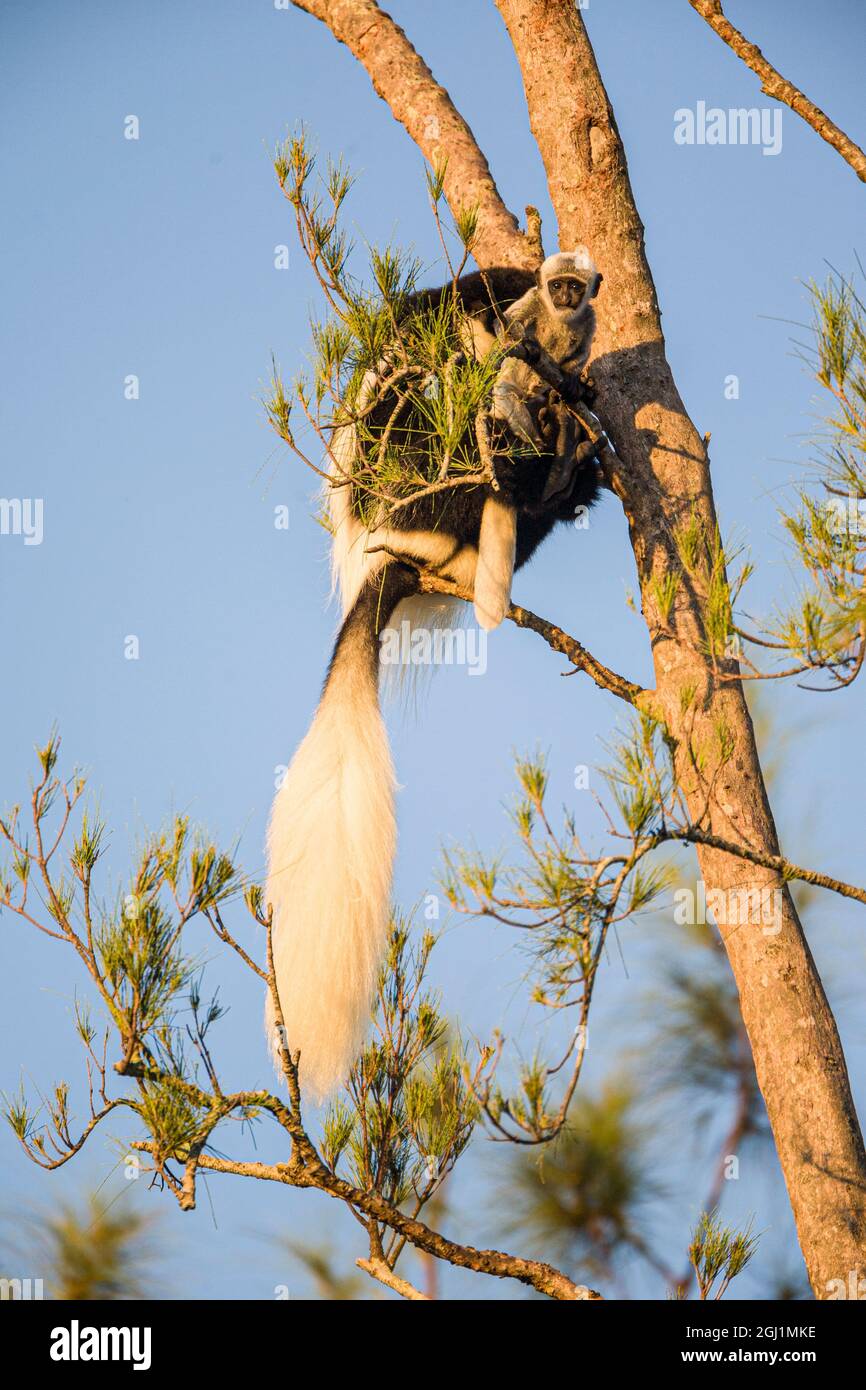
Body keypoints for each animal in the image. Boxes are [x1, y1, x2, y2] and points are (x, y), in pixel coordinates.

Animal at [265, 264, 605, 1100]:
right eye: (550, 294)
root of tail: (389, 551)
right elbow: (466, 366)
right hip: (415, 474)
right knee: (434, 408)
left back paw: (553, 483)